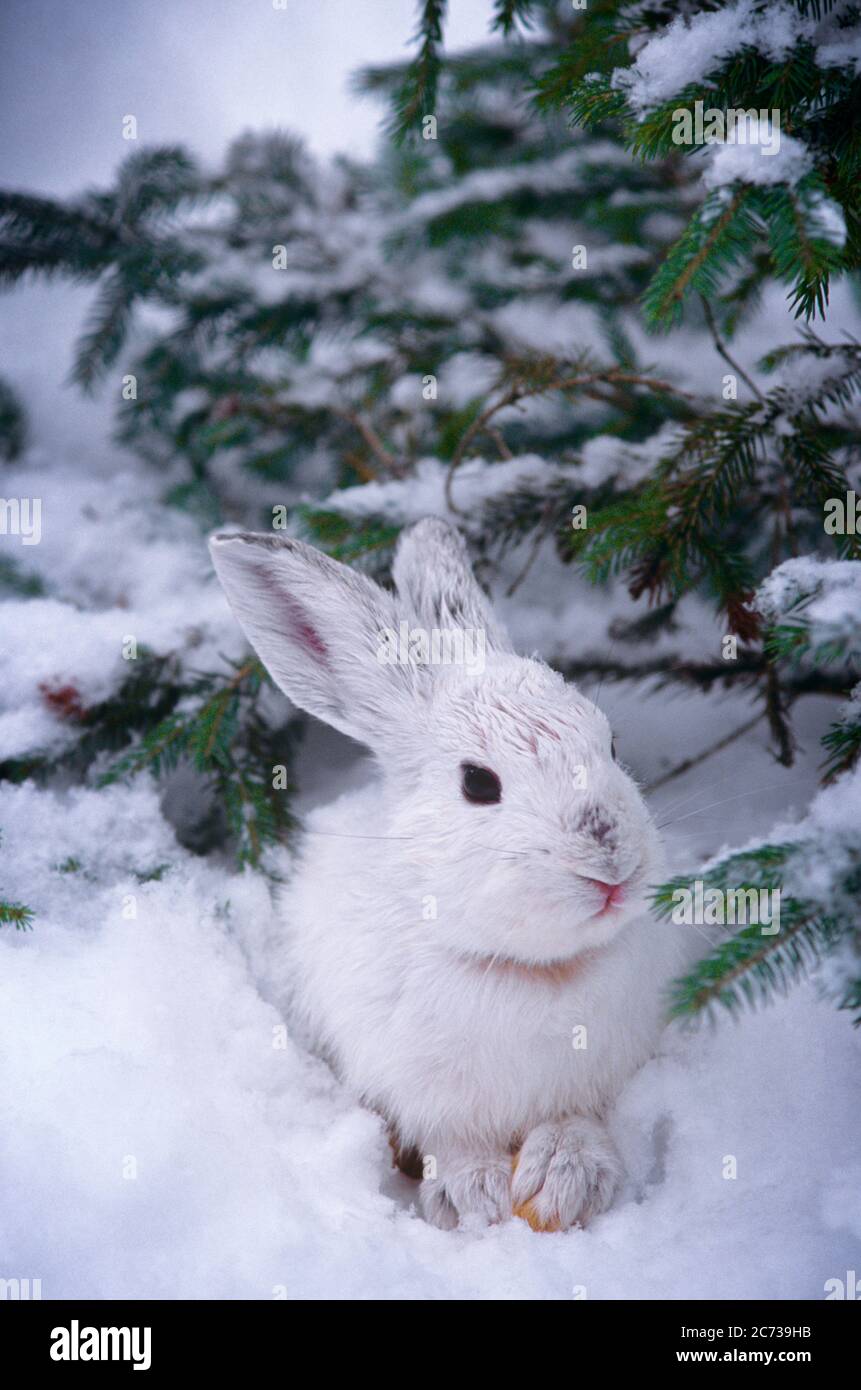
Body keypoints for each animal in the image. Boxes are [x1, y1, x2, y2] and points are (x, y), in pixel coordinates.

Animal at [209, 518, 691, 1232]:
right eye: (477, 783)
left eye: (611, 745)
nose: (612, 865)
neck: (530, 969)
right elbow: (451, 1138)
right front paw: (474, 1196)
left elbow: (578, 1119)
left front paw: (564, 1180)